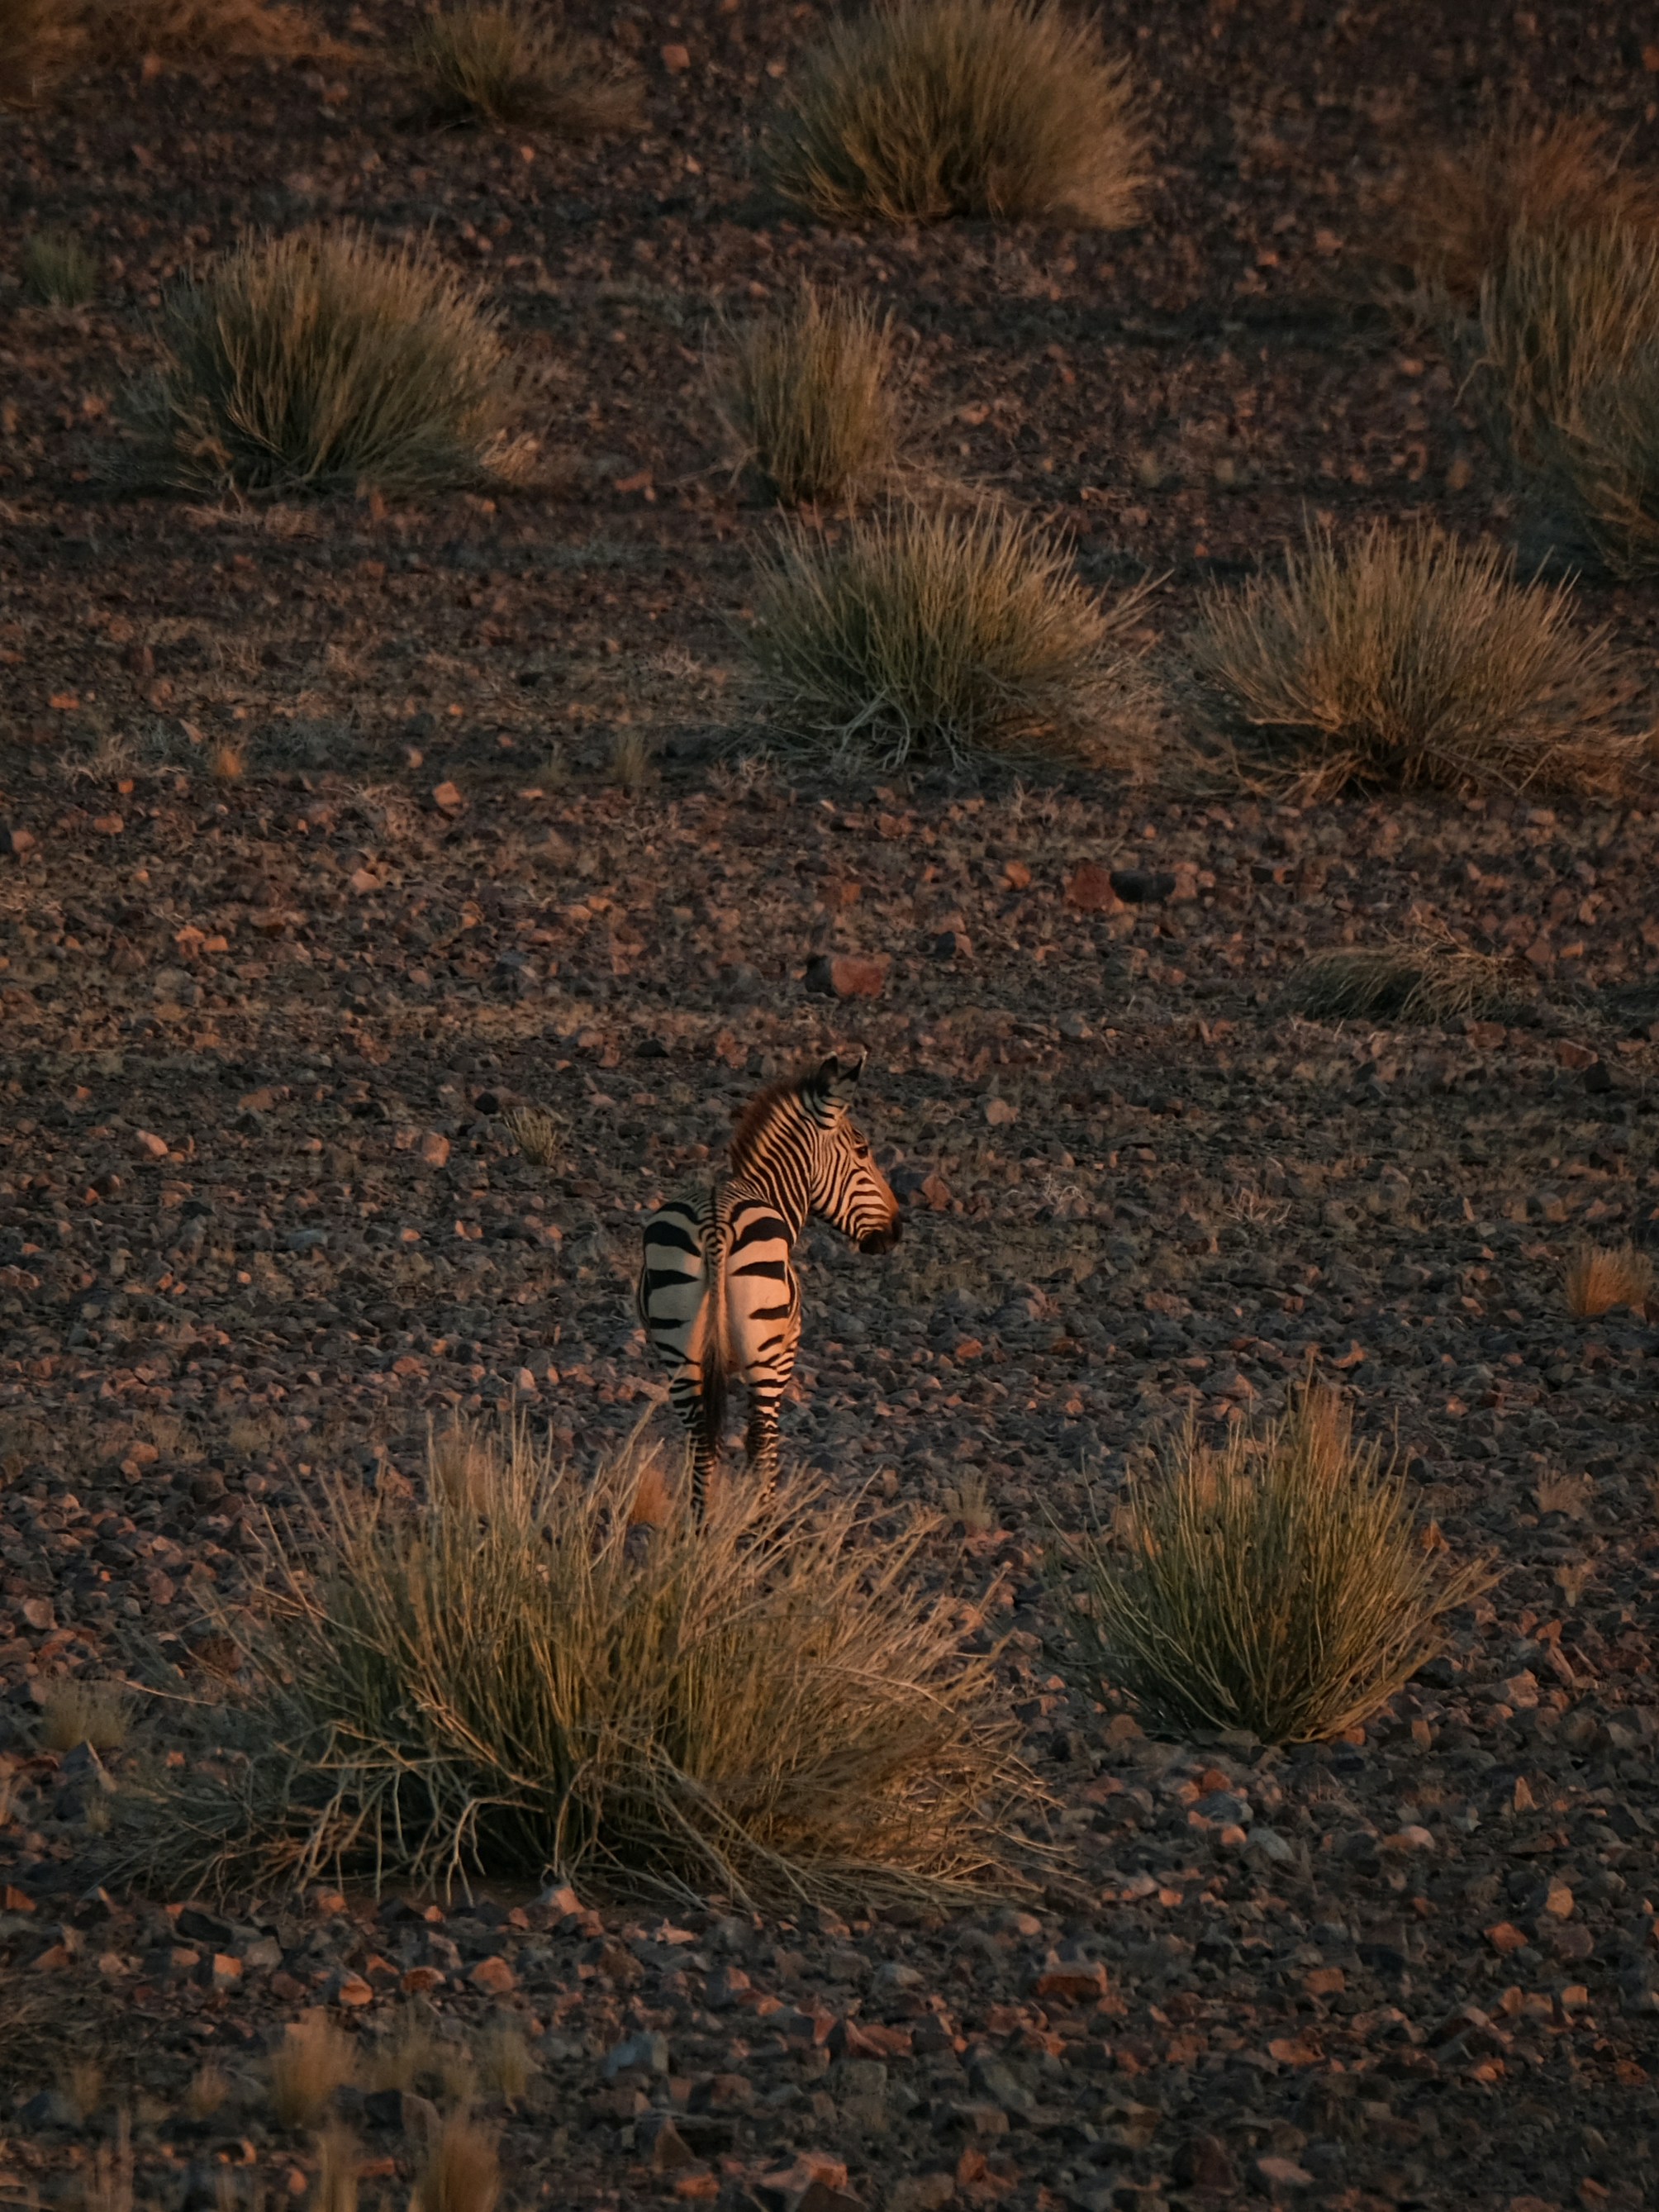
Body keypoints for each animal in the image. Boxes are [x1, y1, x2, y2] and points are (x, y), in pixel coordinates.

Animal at [635, 1052, 902, 1514]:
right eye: (863, 1150)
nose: (898, 1229)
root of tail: (714, 1224)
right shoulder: (786, 1349)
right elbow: (763, 1440)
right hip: (763, 1353)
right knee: (761, 1438)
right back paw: (764, 1524)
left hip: (678, 1348)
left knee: (700, 1439)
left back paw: (699, 1526)